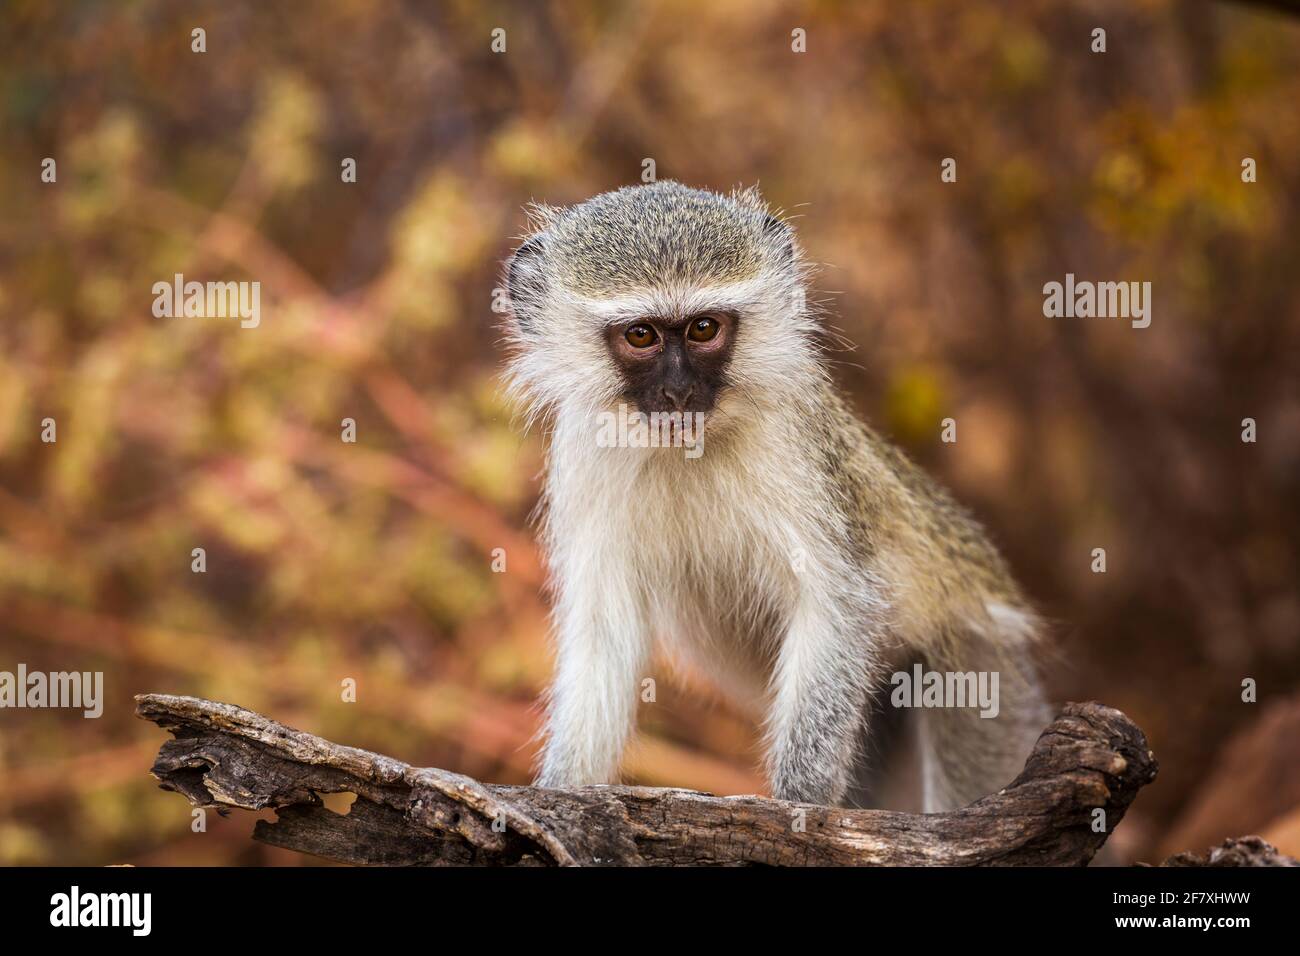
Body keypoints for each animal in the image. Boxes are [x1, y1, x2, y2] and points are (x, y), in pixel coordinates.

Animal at [502, 180, 1051, 811]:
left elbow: (836, 601)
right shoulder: (585, 454)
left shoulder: (795, 447)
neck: (687, 452)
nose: (679, 392)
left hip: (988, 666)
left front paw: (798, 803)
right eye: (641, 335)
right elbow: (604, 633)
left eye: (703, 329)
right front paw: (561, 791)